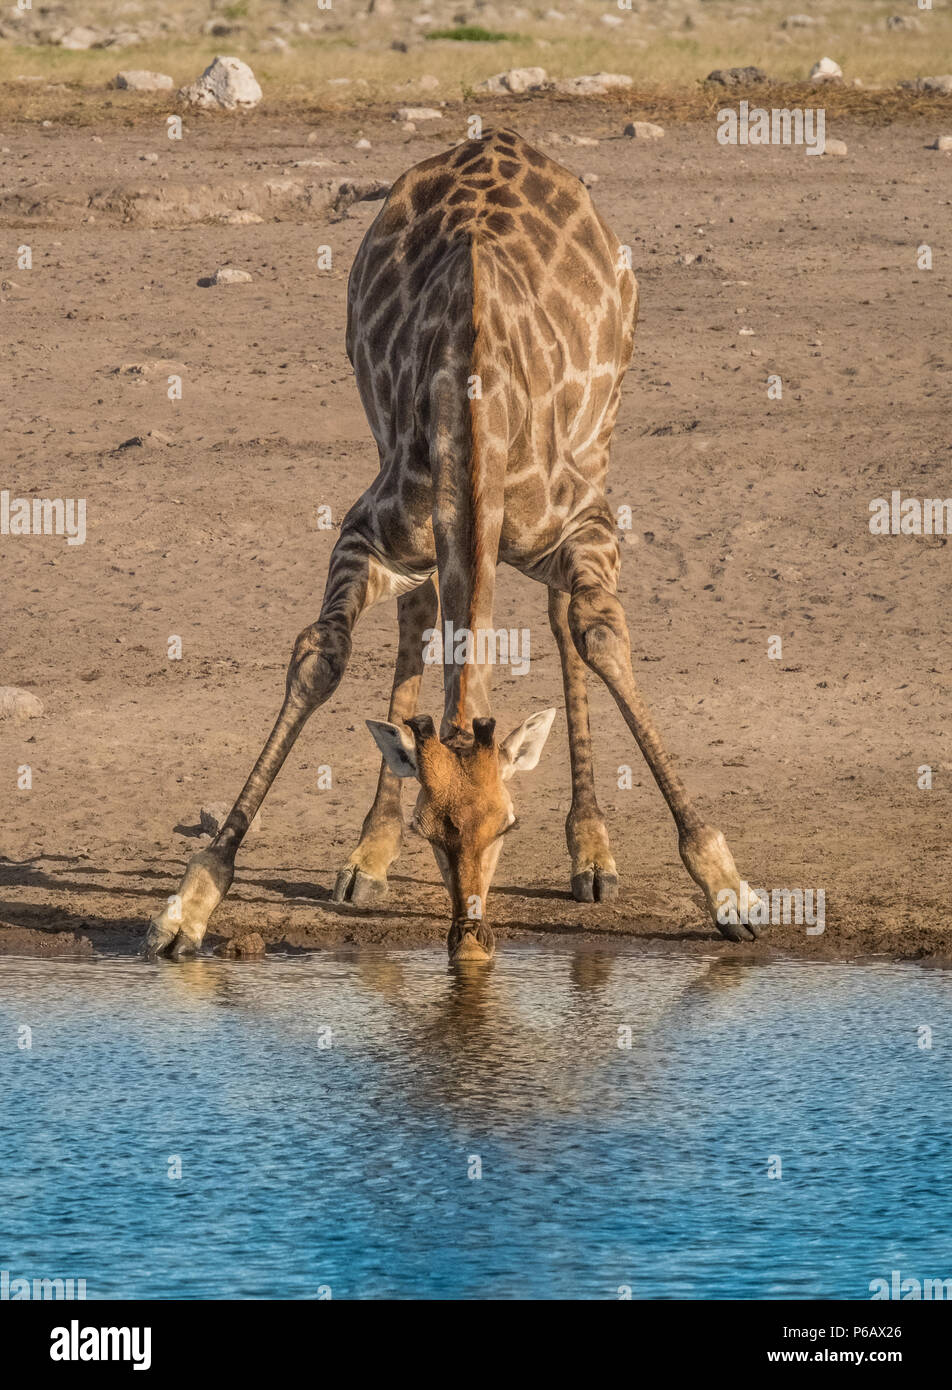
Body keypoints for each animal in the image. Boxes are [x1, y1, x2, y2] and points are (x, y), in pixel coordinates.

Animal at [145, 127, 760, 965]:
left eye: (509, 824)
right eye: (430, 829)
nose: (470, 941)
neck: (476, 412)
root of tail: (501, 135)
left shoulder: (585, 520)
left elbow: (599, 637)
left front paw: (729, 888)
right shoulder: (373, 531)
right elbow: (321, 656)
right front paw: (192, 903)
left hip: (600, 431)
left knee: (562, 618)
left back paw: (593, 855)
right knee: (421, 611)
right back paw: (366, 859)